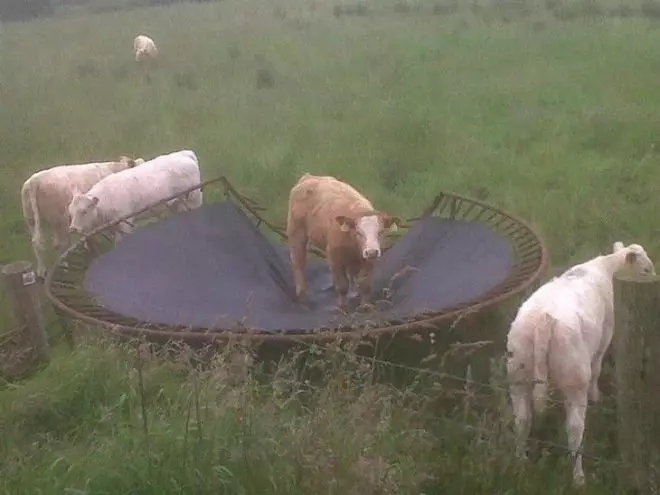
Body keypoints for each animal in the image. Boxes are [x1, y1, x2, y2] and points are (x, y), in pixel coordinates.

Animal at [67, 148, 204, 241]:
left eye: (84, 211)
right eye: (71, 213)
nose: (73, 229)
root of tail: (185, 154)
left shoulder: (125, 223)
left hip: (194, 199)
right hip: (180, 203)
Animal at [286, 173, 400, 314]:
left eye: (381, 232)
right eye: (358, 232)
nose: (372, 251)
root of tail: (309, 177)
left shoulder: (369, 261)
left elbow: (365, 284)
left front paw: (365, 306)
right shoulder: (335, 258)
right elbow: (342, 286)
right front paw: (343, 308)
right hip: (296, 234)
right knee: (298, 262)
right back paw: (302, 297)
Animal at [506, 242, 656, 486]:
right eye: (645, 270)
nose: (655, 279)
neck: (604, 266)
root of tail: (543, 322)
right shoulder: (605, 337)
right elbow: (597, 369)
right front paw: (596, 397)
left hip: (518, 373)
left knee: (522, 420)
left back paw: (520, 463)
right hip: (575, 377)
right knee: (575, 430)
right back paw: (578, 478)